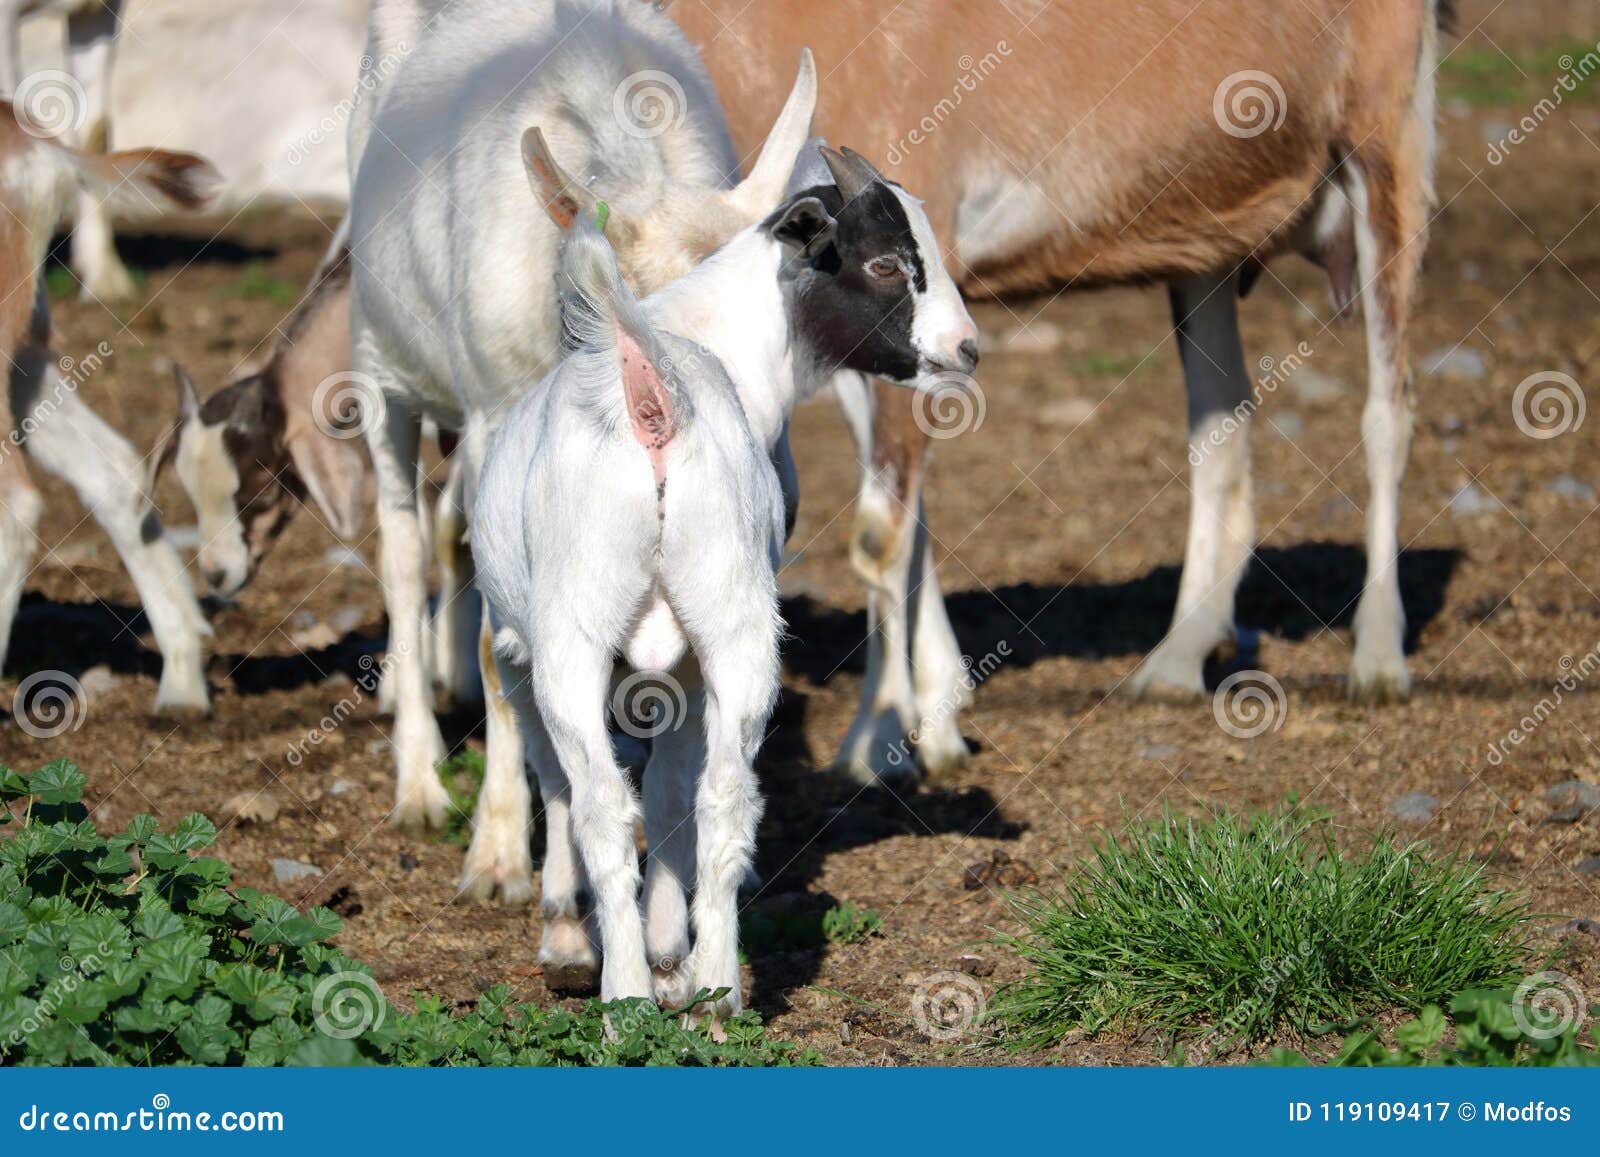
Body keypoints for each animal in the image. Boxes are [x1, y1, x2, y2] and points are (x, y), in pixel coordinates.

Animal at [348, 0, 816, 937]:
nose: (770, 498)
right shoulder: (493, 413)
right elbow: (506, 647)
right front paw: (500, 856)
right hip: (381, 366)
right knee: (404, 550)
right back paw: (419, 780)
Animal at [472, 144, 978, 1013]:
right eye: (886, 263)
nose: (967, 347)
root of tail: (651, 393)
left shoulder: (519, 646)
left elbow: (569, 780)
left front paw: (575, 939)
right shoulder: (678, 663)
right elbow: (671, 790)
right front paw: (672, 953)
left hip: (576, 630)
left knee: (604, 802)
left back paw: (627, 997)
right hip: (735, 618)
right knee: (725, 794)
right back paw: (715, 993)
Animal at [667, 0, 1451, 783]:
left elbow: (879, 535)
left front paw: (877, 741)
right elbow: (906, 516)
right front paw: (938, 719)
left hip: (1385, 148)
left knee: (1388, 412)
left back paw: (1378, 658)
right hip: (1210, 248)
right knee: (1220, 427)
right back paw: (1173, 663)